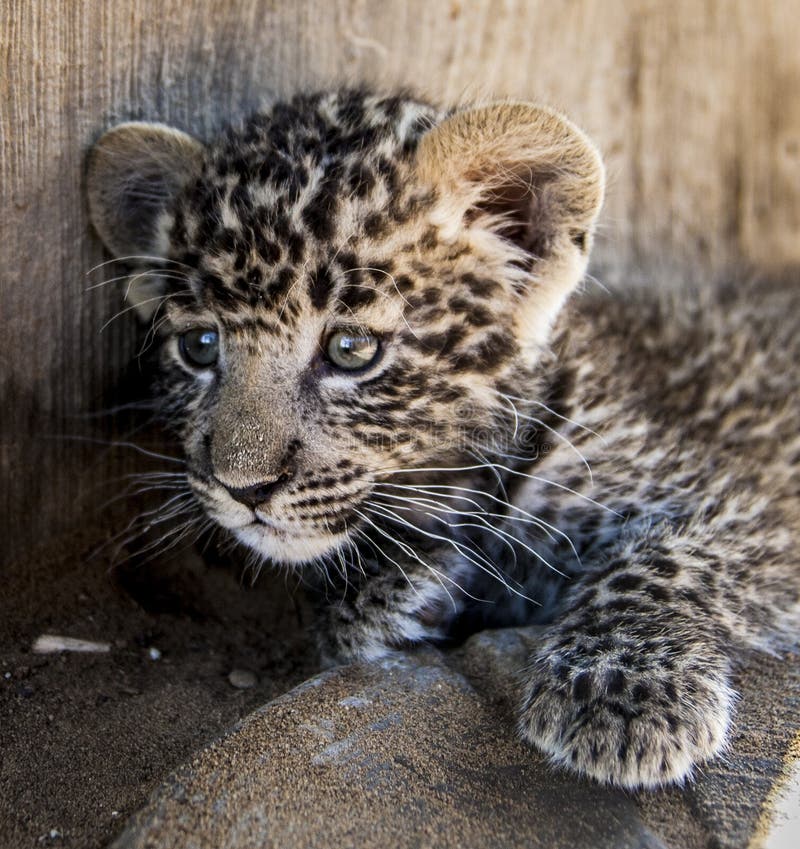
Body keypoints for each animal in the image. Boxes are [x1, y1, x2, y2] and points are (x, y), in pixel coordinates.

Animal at [86, 88, 800, 790]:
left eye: (351, 350)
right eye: (200, 347)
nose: (243, 488)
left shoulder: (750, 495)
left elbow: (668, 556)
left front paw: (621, 685)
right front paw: (399, 586)